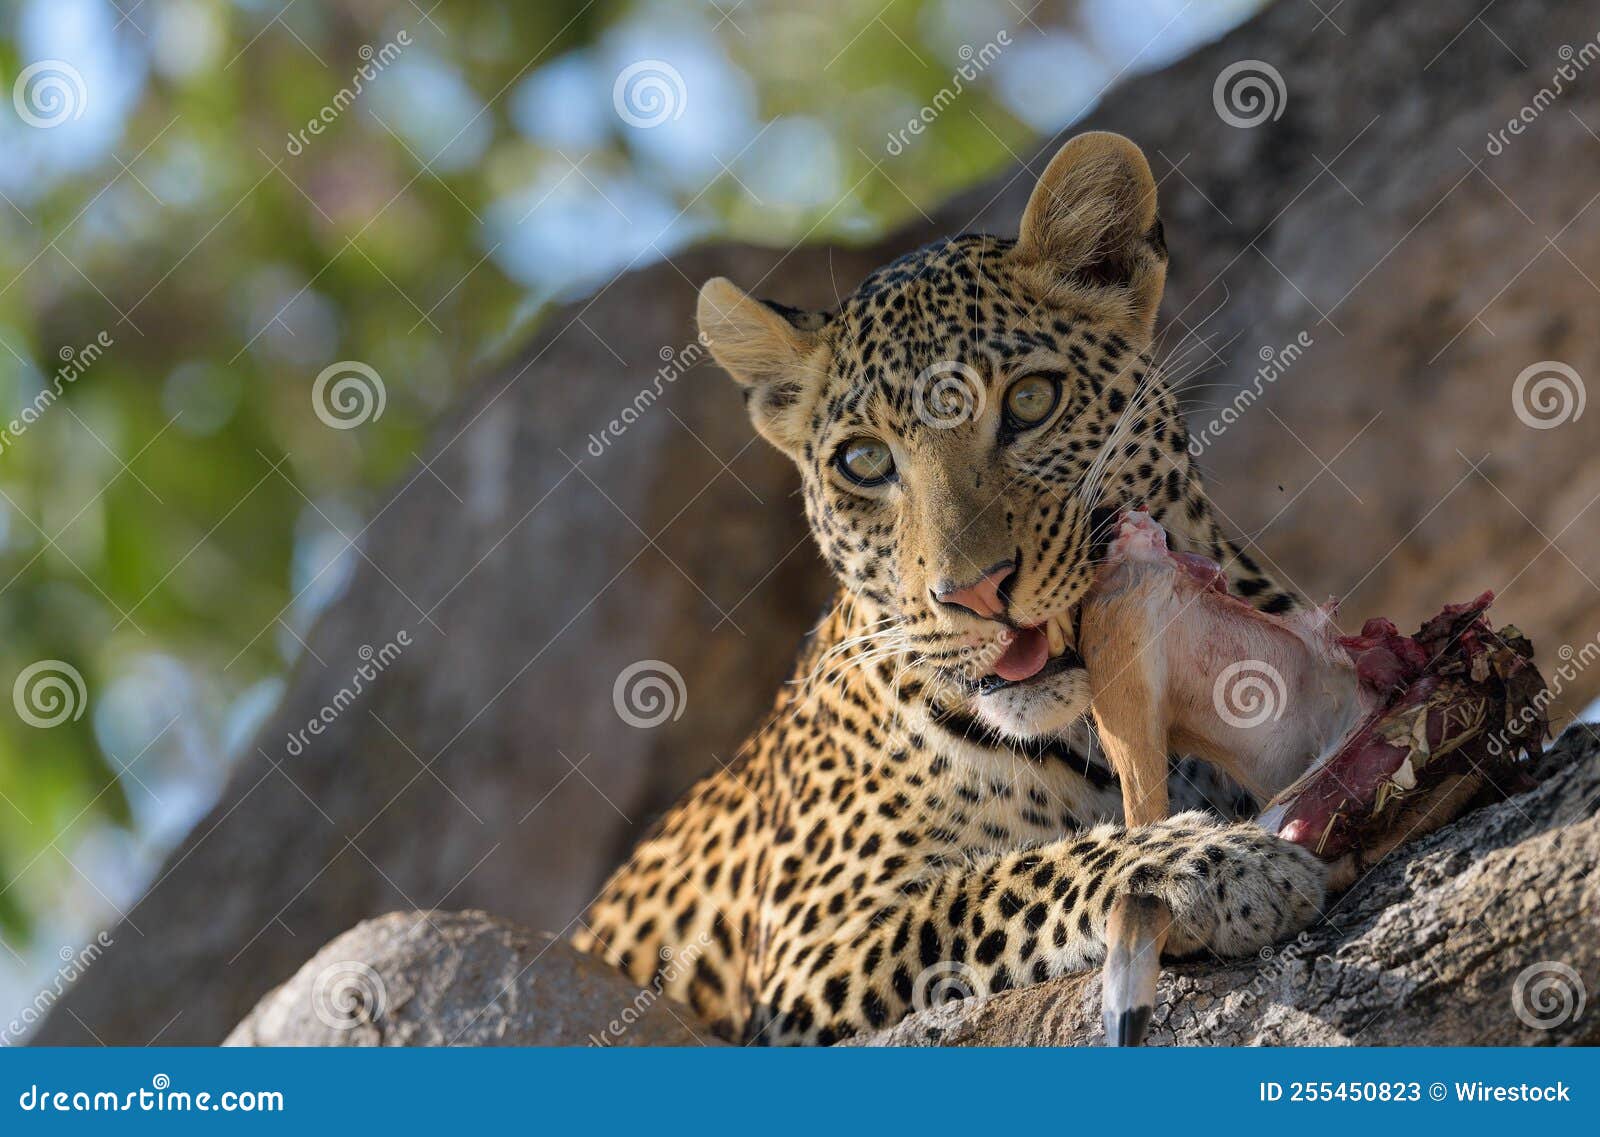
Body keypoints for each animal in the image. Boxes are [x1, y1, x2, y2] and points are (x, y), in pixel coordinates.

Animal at [570, 132, 1328, 1045]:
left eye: (1031, 402)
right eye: (865, 460)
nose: (974, 592)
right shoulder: (806, 955)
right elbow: (995, 884)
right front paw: (1207, 863)